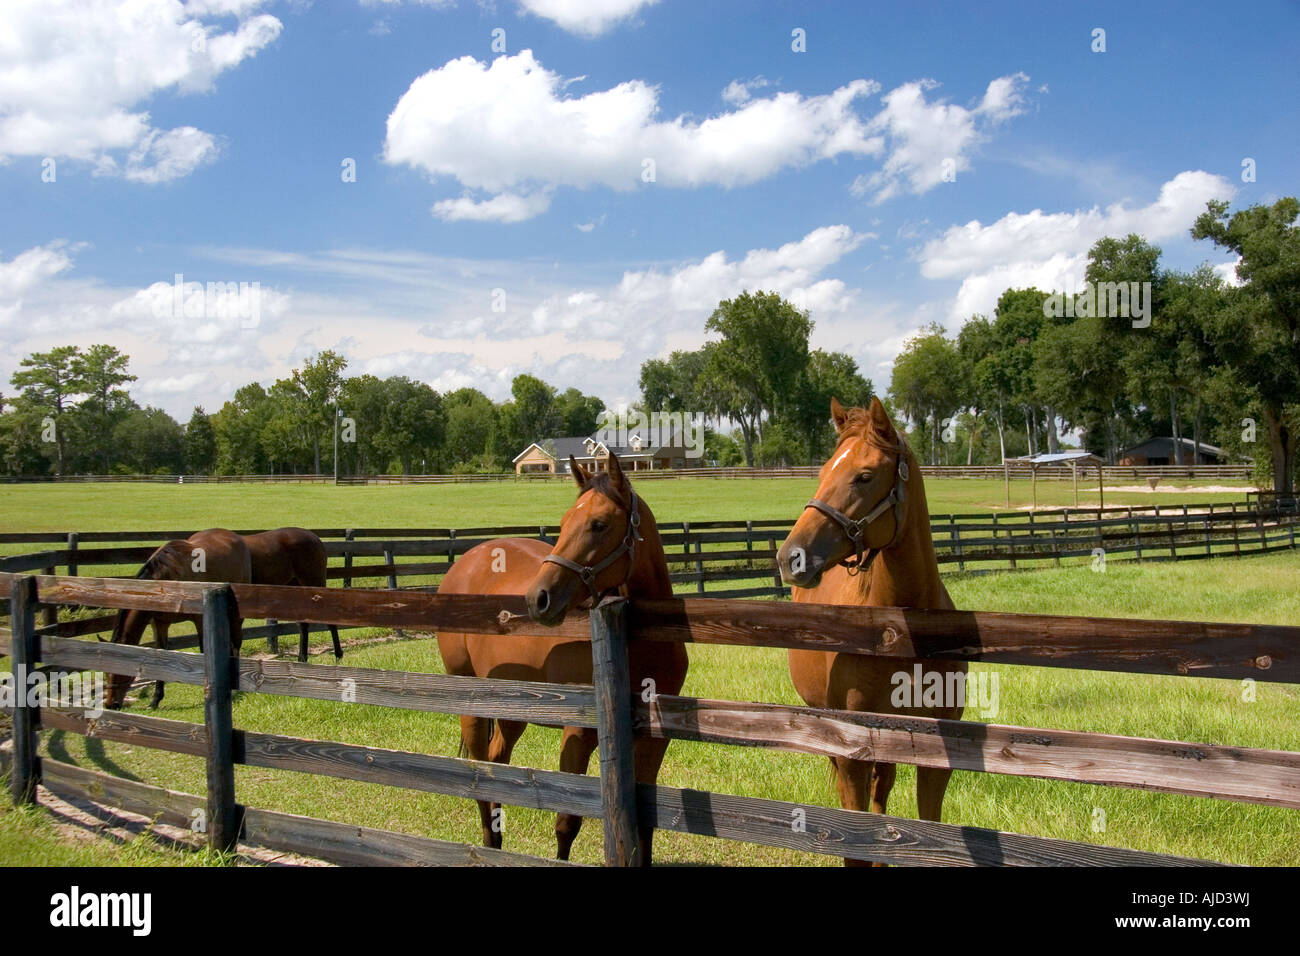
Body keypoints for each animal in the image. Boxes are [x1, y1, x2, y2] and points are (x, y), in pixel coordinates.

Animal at [104, 529, 251, 710]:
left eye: (120, 668)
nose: (110, 704)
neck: (167, 579)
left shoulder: (200, 620)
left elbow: (203, 651)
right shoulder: (159, 624)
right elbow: (160, 655)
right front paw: (155, 699)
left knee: (236, 642)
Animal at [436, 451, 688, 864]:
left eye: (599, 524)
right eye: (565, 521)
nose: (538, 598)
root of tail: (465, 562)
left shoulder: (653, 741)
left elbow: (646, 826)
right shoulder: (578, 735)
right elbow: (568, 822)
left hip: (512, 708)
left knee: (498, 761)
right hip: (469, 701)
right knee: (480, 775)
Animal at [775, 397, 966, 866]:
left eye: (864, 476)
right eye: (823, 472)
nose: (791, 557)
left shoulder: (937, 755)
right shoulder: (851, 753)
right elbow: (853, 838)